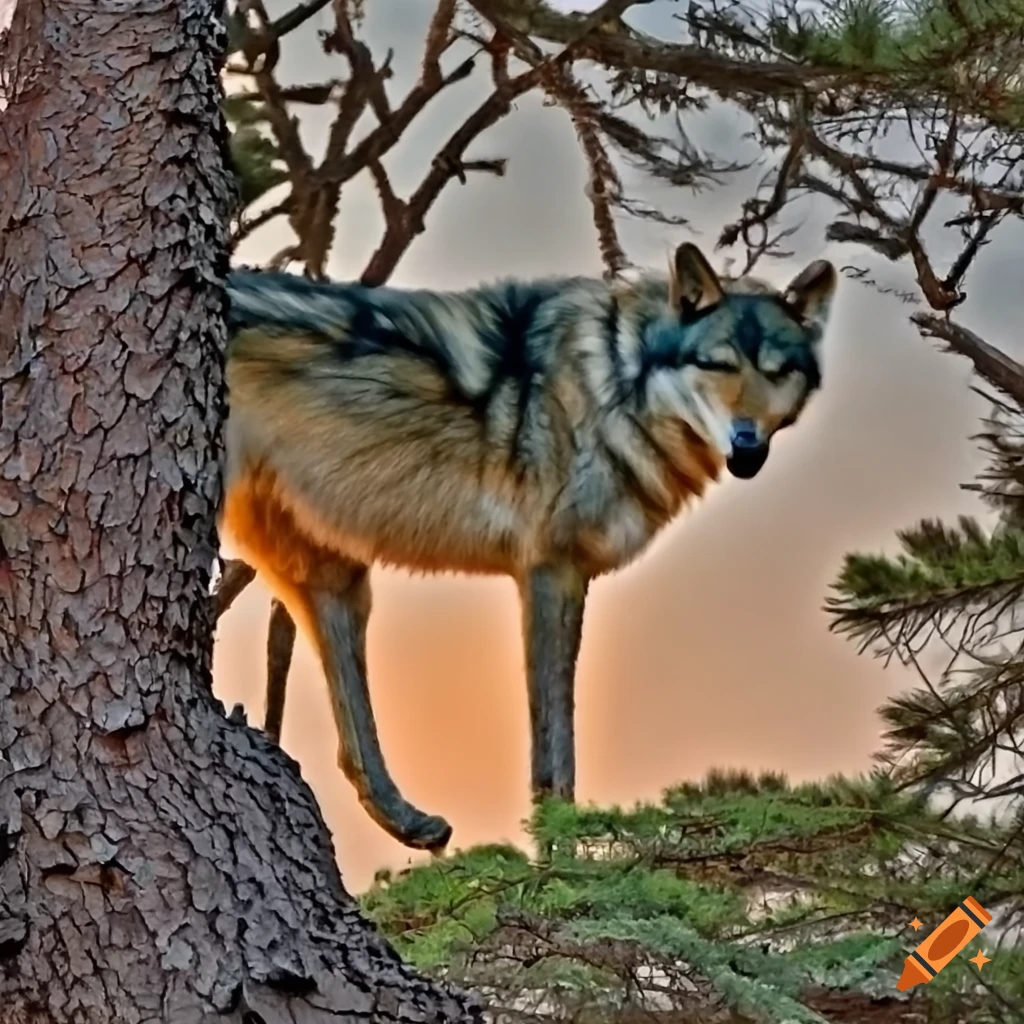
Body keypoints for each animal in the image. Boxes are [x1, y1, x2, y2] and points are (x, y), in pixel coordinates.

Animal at [220, 242, 837, 852]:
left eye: (777, 373)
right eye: (718, 365)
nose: (747, 444)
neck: (615, 381)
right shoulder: (548, 571)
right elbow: (553, 754)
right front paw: (560, 855)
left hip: (332, 579)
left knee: (350, 747)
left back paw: (411, 822)